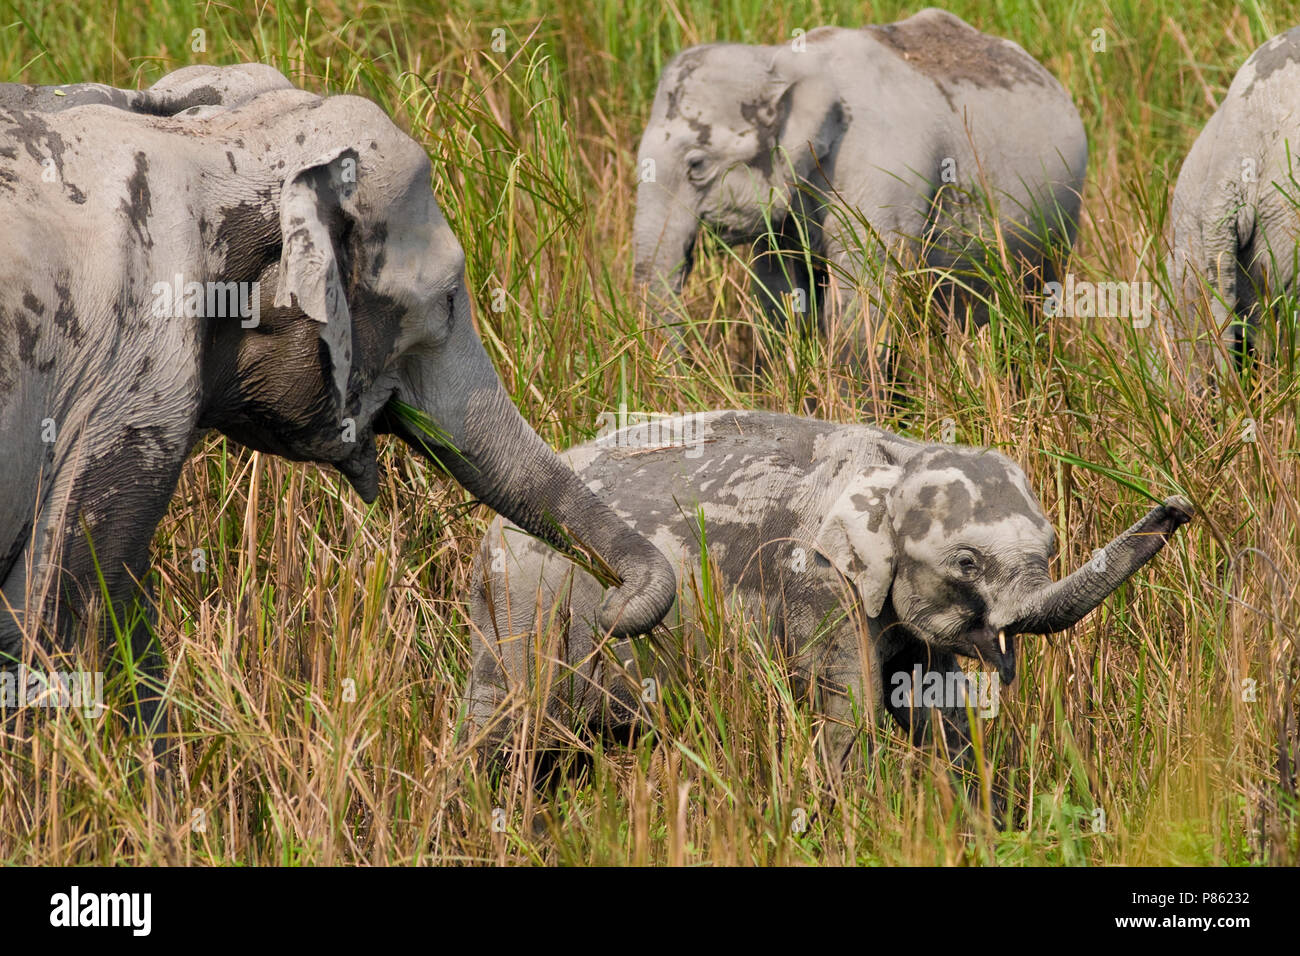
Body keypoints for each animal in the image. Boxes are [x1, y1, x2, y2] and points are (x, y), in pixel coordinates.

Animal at [467, 411, 1193, 770]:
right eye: (966, 562)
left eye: (1048, 545)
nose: (1177, 506)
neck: (893, 454)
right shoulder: (817, 581)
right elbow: (853, 714)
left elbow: (937, 709)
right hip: (526, 606)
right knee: (514, 731)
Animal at [632, 8, 1087, 371]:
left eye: (697, 166)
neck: (783, 61)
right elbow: (779, 289)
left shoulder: (881, 177)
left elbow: (860, 297)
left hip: (1060, 220)